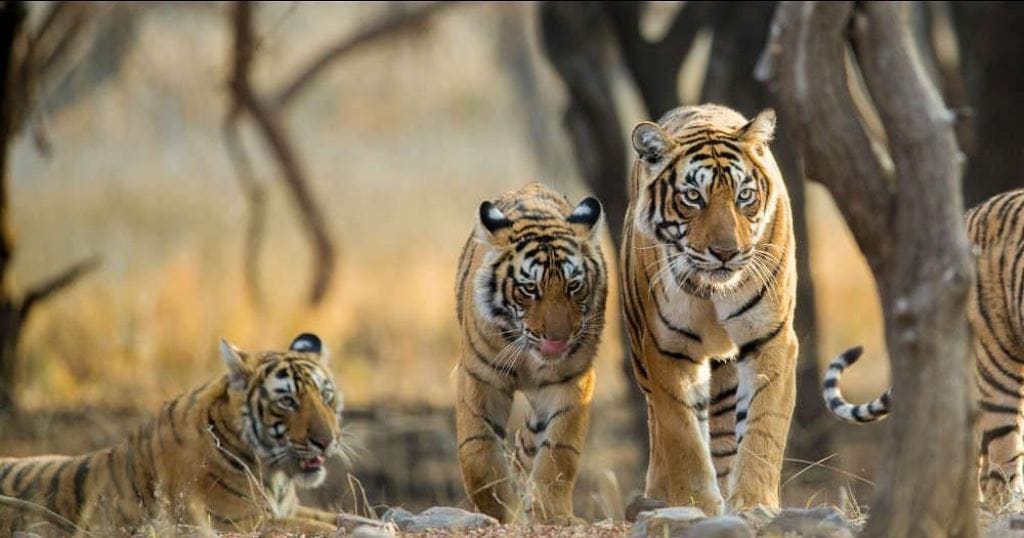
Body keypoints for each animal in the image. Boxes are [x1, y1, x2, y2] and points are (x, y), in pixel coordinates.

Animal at [0, 333, 346, 536]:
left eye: (326, 395)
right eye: (287, 401)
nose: (326, 441)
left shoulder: (286, 509)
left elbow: (343, 518)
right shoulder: (238, 522)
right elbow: (320, 529)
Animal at [454, 182, 608, 524]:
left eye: (573, 286)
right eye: (529, 289)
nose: (558, 339)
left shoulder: (571, 380)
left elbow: (558, 452)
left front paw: (550, 515)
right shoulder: (480, 377)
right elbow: (478, 452)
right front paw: (500, 511)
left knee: (529, 443)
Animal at [621, 104, 799, 516]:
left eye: (744, 195)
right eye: (692, 197)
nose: (726, 252)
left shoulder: (771, 339)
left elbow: (763, 427)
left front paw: (754, 503)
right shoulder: (668, 348)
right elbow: (682, 435)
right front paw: (695, 504)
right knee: (659, 425)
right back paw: (656, 495)